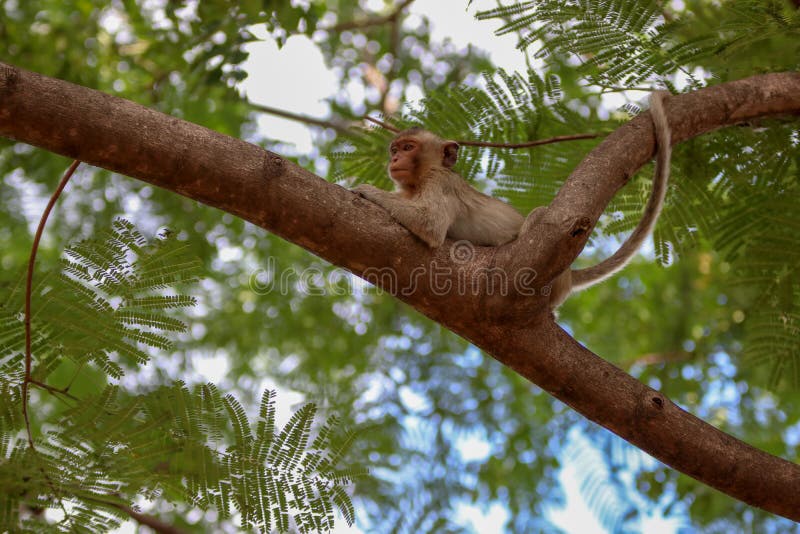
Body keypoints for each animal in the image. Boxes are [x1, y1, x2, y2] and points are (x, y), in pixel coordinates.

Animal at [353, 92, 671, 308]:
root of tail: (568, 276)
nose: (395, 159)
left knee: (540, 215)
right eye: (395, 149)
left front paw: (367, 190)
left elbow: (430, 224)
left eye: (408, 148)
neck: (420, 179)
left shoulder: (440, 182)